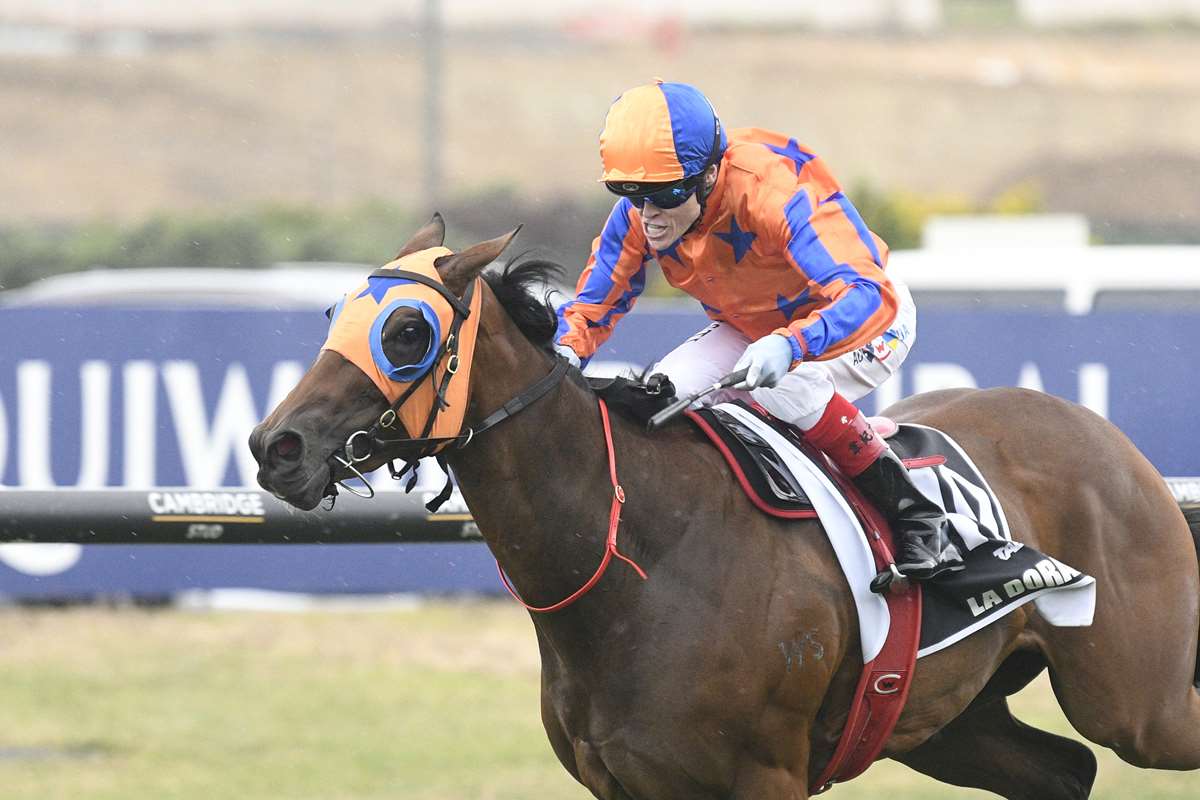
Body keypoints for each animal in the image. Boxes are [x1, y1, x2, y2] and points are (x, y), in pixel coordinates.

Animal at [249, 215, 1200, 799]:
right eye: (335, 314)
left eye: (407, 332)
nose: (275, 446)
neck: (638, 555)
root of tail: (1114, 444)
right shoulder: (621, 781)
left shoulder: (764, 776)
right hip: (946, 718)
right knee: (1062, 770)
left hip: (1137, 705)